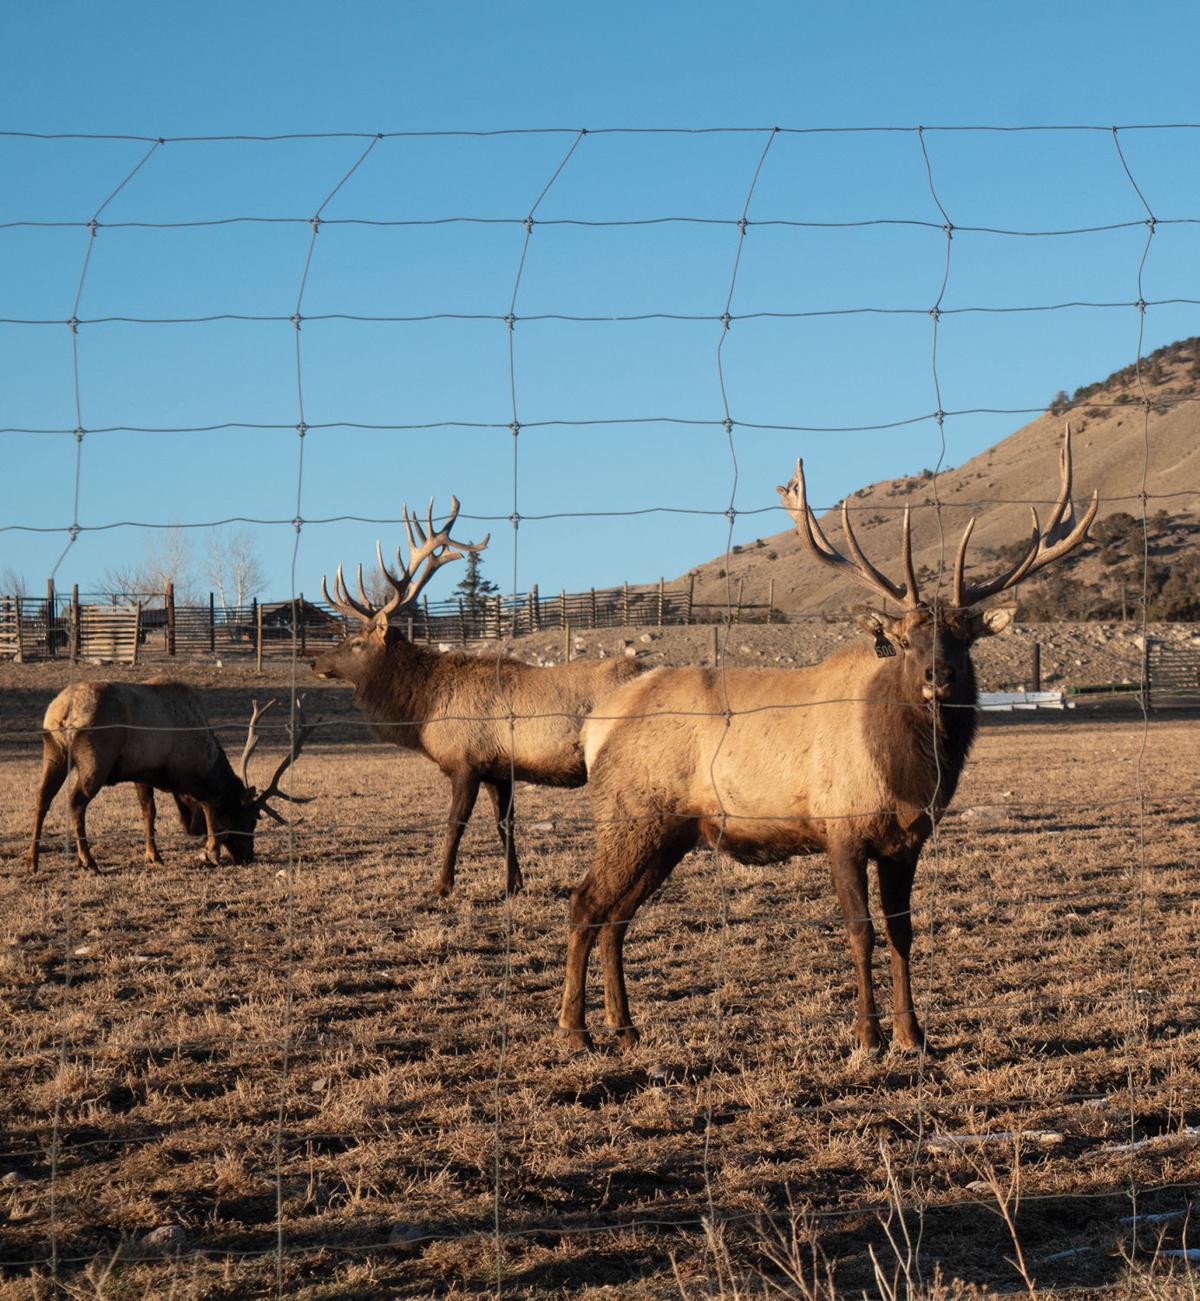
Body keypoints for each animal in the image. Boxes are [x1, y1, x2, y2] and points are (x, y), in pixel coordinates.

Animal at [27, 681, 315, 872]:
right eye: (251, 820)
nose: (248, 856)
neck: (207, 758)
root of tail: (63, 711)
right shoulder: (184, 776)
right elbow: (209, 804)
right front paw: (210, 852)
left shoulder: (142, 774)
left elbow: (149, 812)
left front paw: (154, 855)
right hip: (95, 760)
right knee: (75, 802)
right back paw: (88, 861)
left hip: (53, 752)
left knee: (42, 798)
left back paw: (33, 859)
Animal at [311, 496, 643, 897]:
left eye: (357, 642)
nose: (315, 660)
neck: (422, 710)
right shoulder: (497, 770)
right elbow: (506, 825)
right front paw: (513, 885)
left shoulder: (465, 762)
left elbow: (455, 824)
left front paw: (441, 885)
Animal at [558, 427, 1097, 1054]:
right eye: (904, 639)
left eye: (965, 637)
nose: (938, 675)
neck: (908, 777)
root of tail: (597, 724)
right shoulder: (840, 829)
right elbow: (860, 932)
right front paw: (867, 1036)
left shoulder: (907, 840)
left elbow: (902, 932)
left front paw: (913, 1034)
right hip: (630, 815)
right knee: (585, 902)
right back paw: (574, 1030)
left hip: (671, 831)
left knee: (618, 916)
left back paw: (625, 1028)